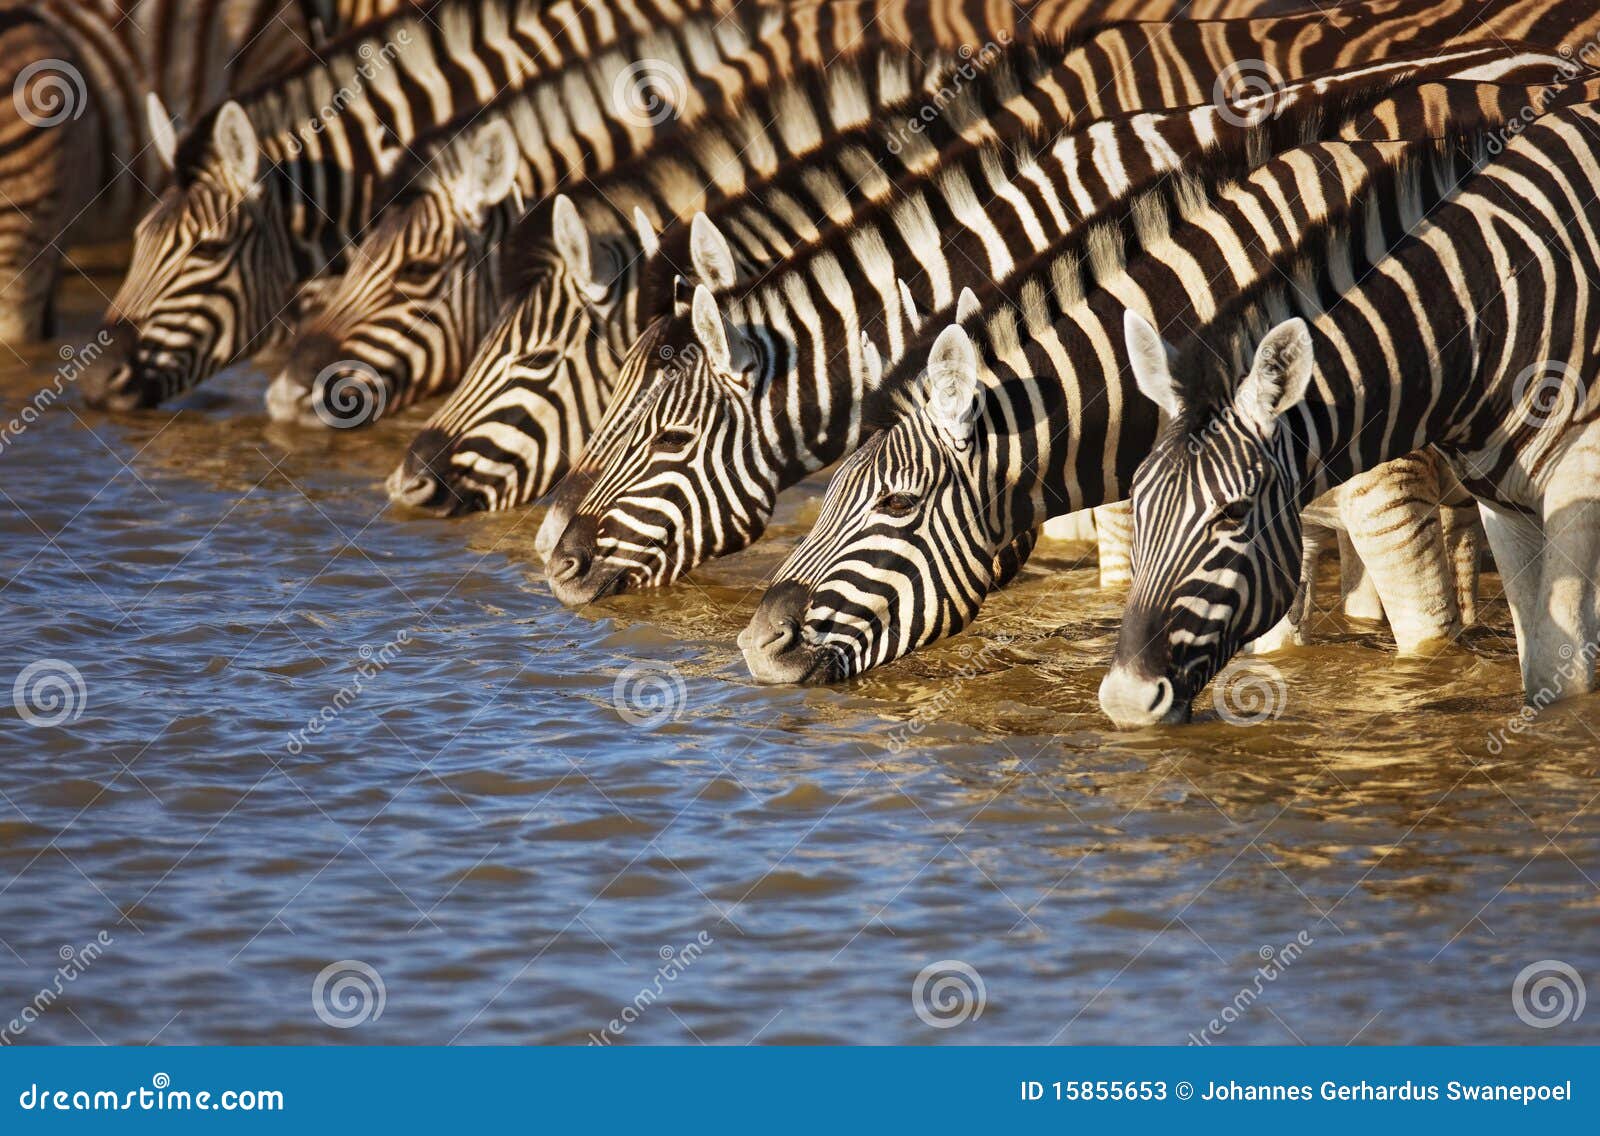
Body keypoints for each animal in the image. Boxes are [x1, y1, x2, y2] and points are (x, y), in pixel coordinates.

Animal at [1100, 98, 1600, 725]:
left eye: (1233, 514)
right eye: (1137, 501)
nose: (1125, 699)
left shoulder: (1576, 479)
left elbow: (1563, 673)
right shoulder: (1502, 502)